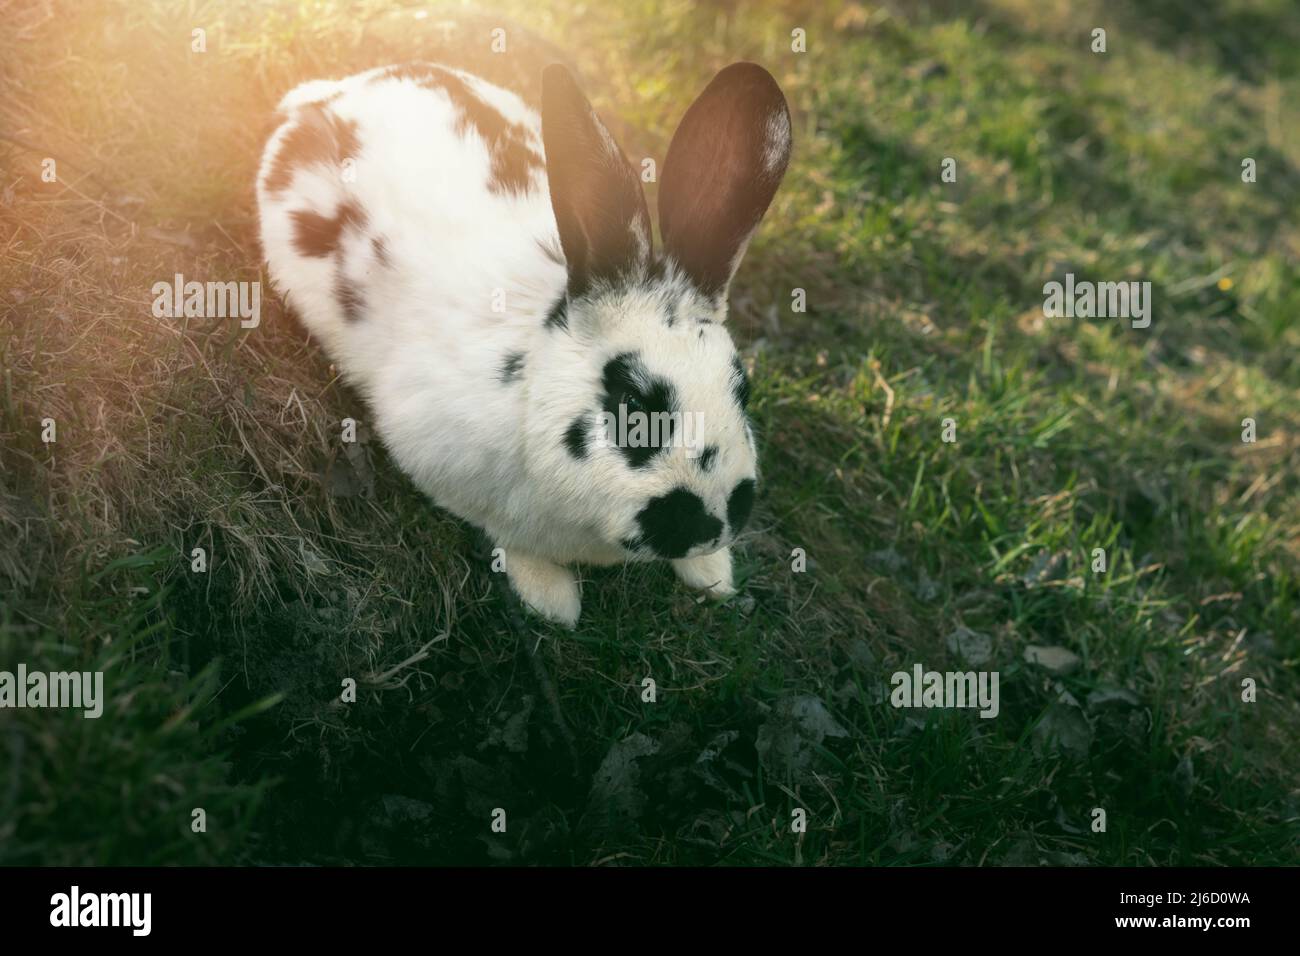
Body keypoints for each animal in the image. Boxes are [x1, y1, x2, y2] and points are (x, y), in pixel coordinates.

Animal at [256, 59, 792, 626]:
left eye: (743, 392)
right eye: (632, 402)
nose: (713, 524)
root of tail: (326, 94)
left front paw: (714, 575)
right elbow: (507, 536)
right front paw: (552, 600)